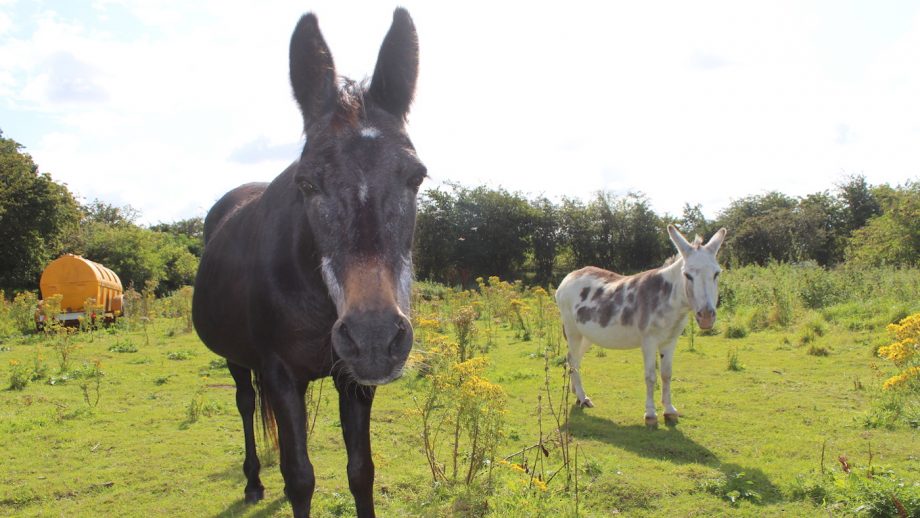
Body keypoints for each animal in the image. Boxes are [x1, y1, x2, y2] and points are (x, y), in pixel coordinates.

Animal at [192, 9, 424, 517]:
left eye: (416, 177)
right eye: (307, 184)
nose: (374, 337)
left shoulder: (354, 381)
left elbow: (361, 472)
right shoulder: (280, 374)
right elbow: (300, 477)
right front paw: (278, 482)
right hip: (238, 359)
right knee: (245, 403)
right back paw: (254, 482)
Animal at [555, 225, 726, 427]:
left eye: (716, 273)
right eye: (688, 275)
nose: (706, 317)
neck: (670, 300)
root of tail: (570, 275)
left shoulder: (670, 341)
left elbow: (667, 374)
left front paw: (669, 411)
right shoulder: (648, 341)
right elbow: (651, 376)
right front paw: (650, 414)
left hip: (587, 334)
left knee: (574, 358)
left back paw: (576, 393)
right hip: (572, 330)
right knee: (573, 360)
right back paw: (583, 398)